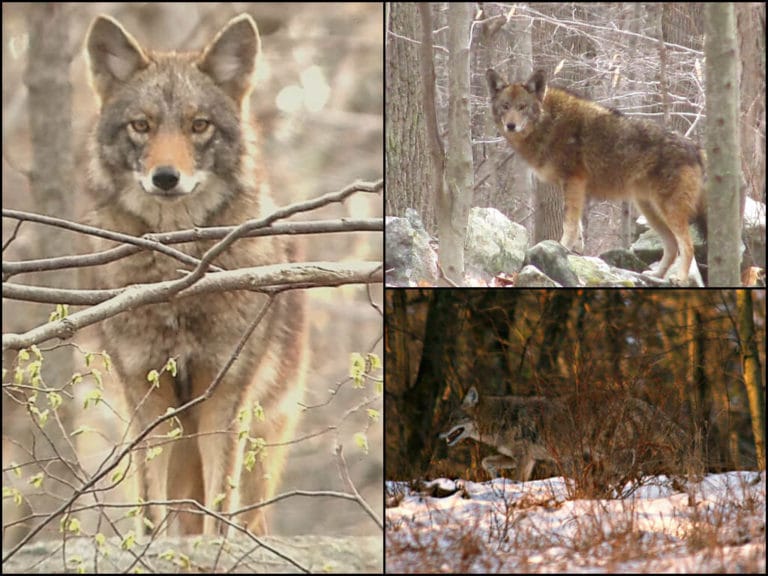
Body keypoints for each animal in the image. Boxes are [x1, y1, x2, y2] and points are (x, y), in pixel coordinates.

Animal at [82, 14, 308, 535]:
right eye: (141, 125)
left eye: (199, 125)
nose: (166, 178)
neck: (178, 271)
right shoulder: (146, 393)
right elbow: (151, 504)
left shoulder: (223, 392)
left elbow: (221, 509)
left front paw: (218, 546)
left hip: (261, 443)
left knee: (250, 514)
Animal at [440, 386, 687, 492]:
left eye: (452, 418)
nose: (439, 434)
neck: (502, 417)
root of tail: (635, 401)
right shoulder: (523, 458)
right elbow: (486, 462)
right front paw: (494, 477)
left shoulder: (524, 459)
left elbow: (518, 479)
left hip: (610, 453)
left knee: (628, 472)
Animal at [486, 69, 705, 285]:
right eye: (505, 106)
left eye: (522, 107)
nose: (511, 125)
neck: (549, 122)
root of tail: (695, 148)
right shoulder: (572, 186)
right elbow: (578, 227)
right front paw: (573, 253)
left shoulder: (574, 181)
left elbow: (569, 224)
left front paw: (562, 246)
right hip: (650, 210)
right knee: (672, 246)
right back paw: (656, 275)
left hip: (668, 210)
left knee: (687, 246)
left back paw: (680, 279)